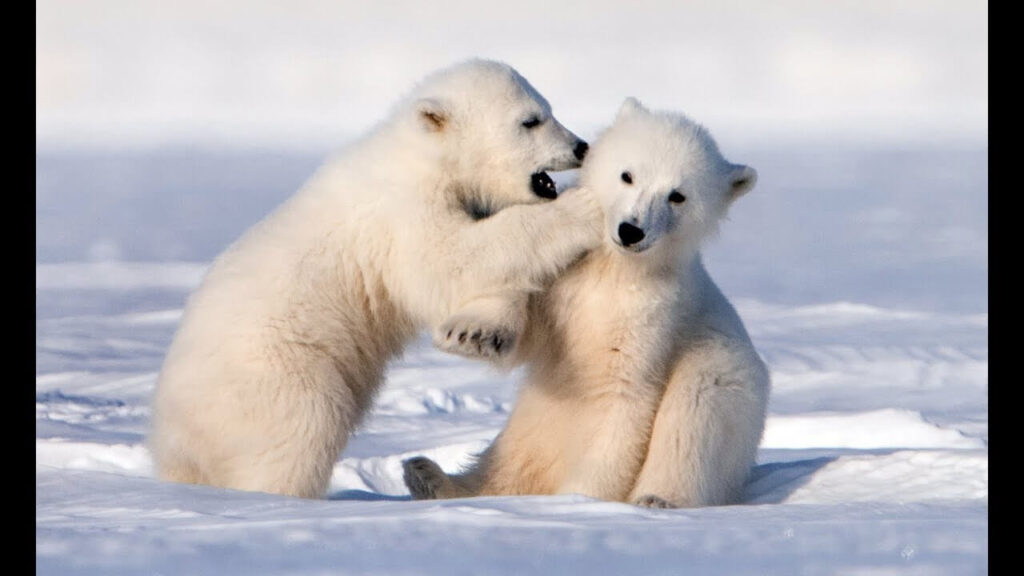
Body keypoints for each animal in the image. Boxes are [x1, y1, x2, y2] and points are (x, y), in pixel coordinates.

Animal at [148, 59, 604, 499]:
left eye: (548, 109)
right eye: (530, 120)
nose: (581, 147)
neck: (422, 155)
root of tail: (172, 435)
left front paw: (476, 333)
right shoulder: (402, 211)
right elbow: (449, 261)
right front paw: (585, 206)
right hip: (275, 373)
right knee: (300, 432)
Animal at [403, 98, 771, 508]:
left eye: (678, 195)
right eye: (627, 175)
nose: (631, 230)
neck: (613, 267)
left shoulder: (651, 315)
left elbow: (619, 402)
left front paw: (581, 500)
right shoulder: (564, 278)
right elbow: (525, 307)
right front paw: (474, 333)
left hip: (723, 374)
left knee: (693, 421)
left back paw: (657, 498)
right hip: (536, 414)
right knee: (510, 458)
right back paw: (431, 476)